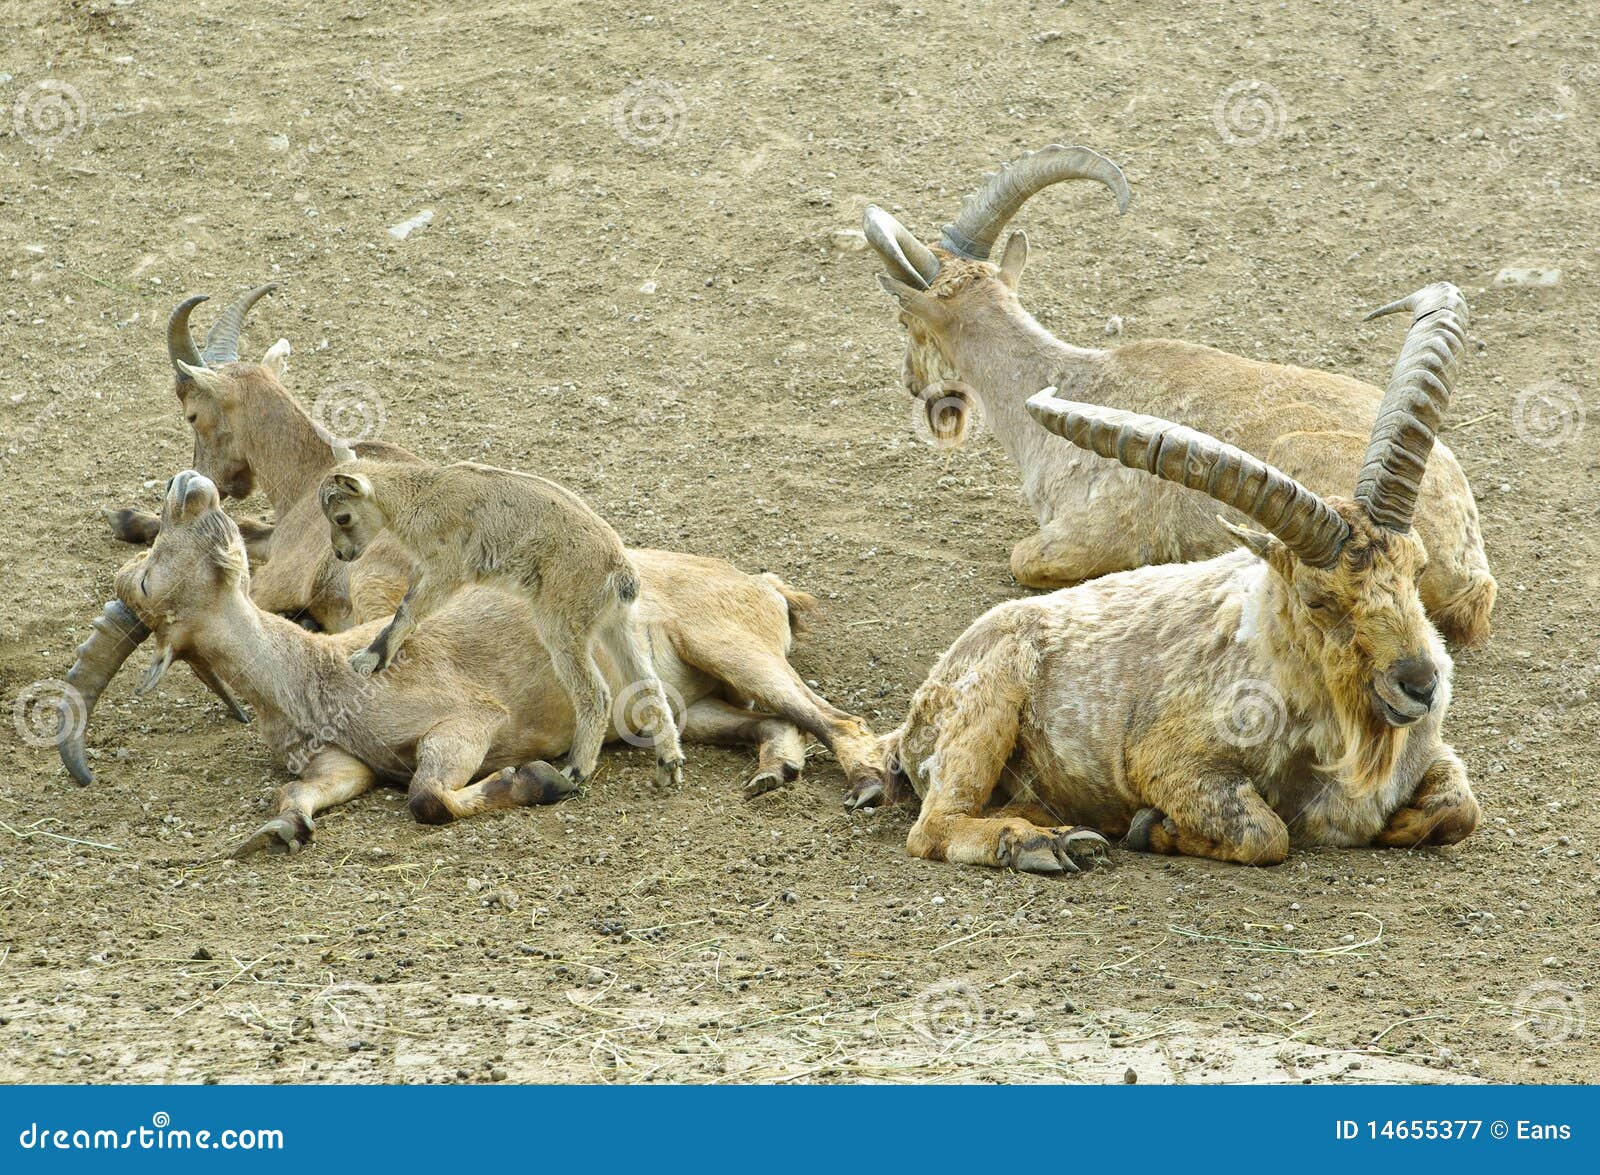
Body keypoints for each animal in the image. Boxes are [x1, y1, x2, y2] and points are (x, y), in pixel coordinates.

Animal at [317, 457, 684, 788]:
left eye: (342, 517)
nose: (340, 554)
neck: (421, 496)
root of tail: (620, 573)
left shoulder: (446, 567)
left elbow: (407, 610)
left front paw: (369, 659)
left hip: (562, 626)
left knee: (597, 694)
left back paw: (577, 770)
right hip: (616, 626)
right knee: (648, 684)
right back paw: (668, 764)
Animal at [863, 146, 1496, 647]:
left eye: (904, 319)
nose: (915, 385)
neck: (1058, 383)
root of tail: (1468, 572)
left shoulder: (1087, 536)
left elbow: (1024, 560)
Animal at [880, 284, 1480, 871]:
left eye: (1417, 567)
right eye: (1316, 600)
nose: (1419, 685)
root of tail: (910, 725)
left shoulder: (1433, 756)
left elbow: (1460, 808)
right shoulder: (1167, 759)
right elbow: (1265, 833)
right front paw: (1152, 828)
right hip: (991, 694)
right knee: (932, 827)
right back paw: (1049, 845)